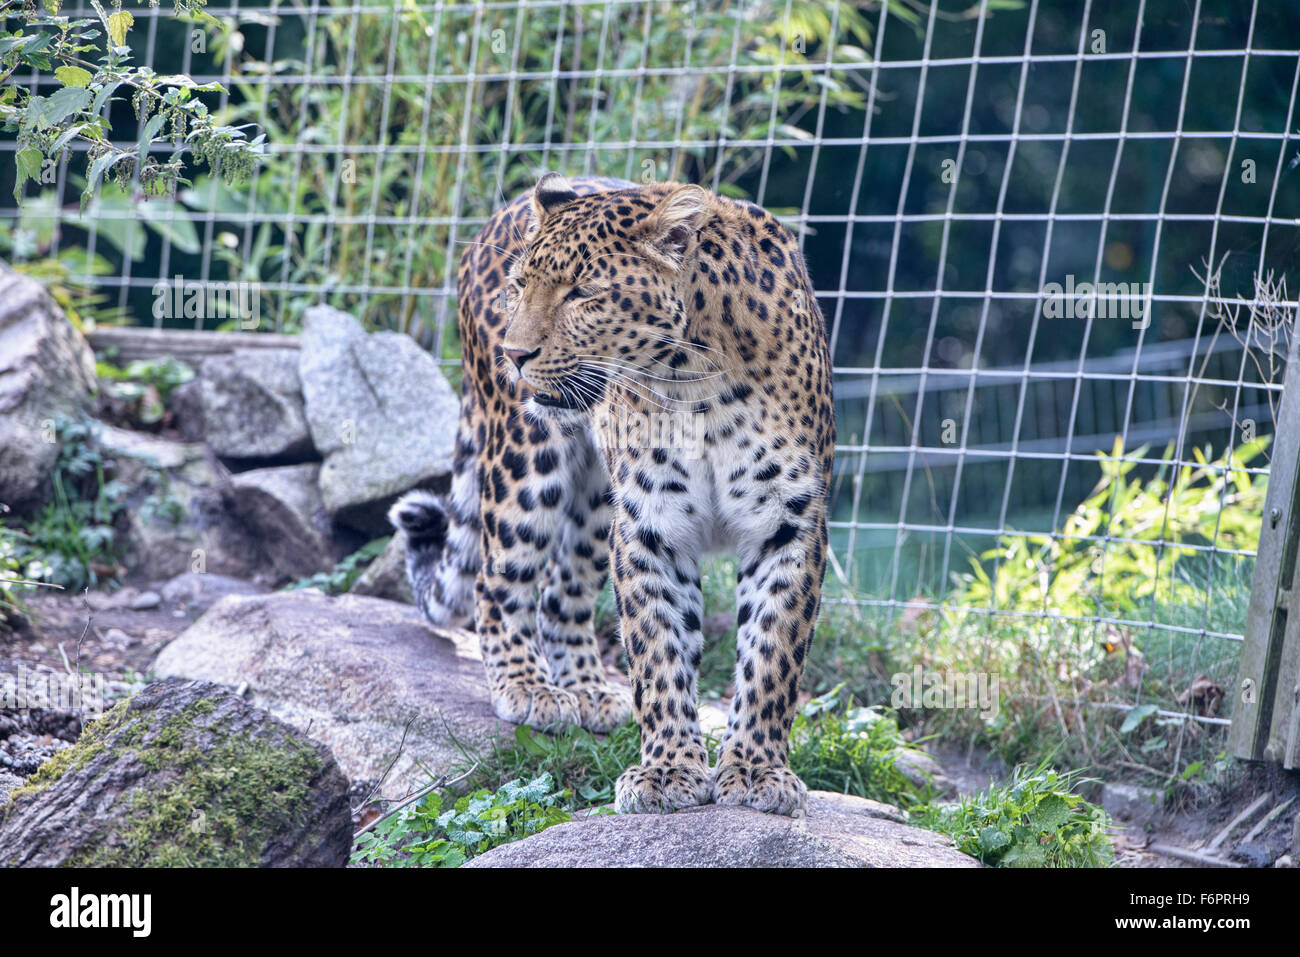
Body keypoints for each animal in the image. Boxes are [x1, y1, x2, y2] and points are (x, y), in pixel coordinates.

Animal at [390, 172, 835, 816]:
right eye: (520, 286)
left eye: (583, 292)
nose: (514, 355)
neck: (695, 378)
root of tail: (498, 214)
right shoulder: (652, 524)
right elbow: (658, 650)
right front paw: (668, 771)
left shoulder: (788, 522)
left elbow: (772, 654)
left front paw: (756, 770)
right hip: (527, 459)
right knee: (498, 580)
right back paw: (528, 686)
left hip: (598, 499)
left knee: (562, 594)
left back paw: (586, 690)